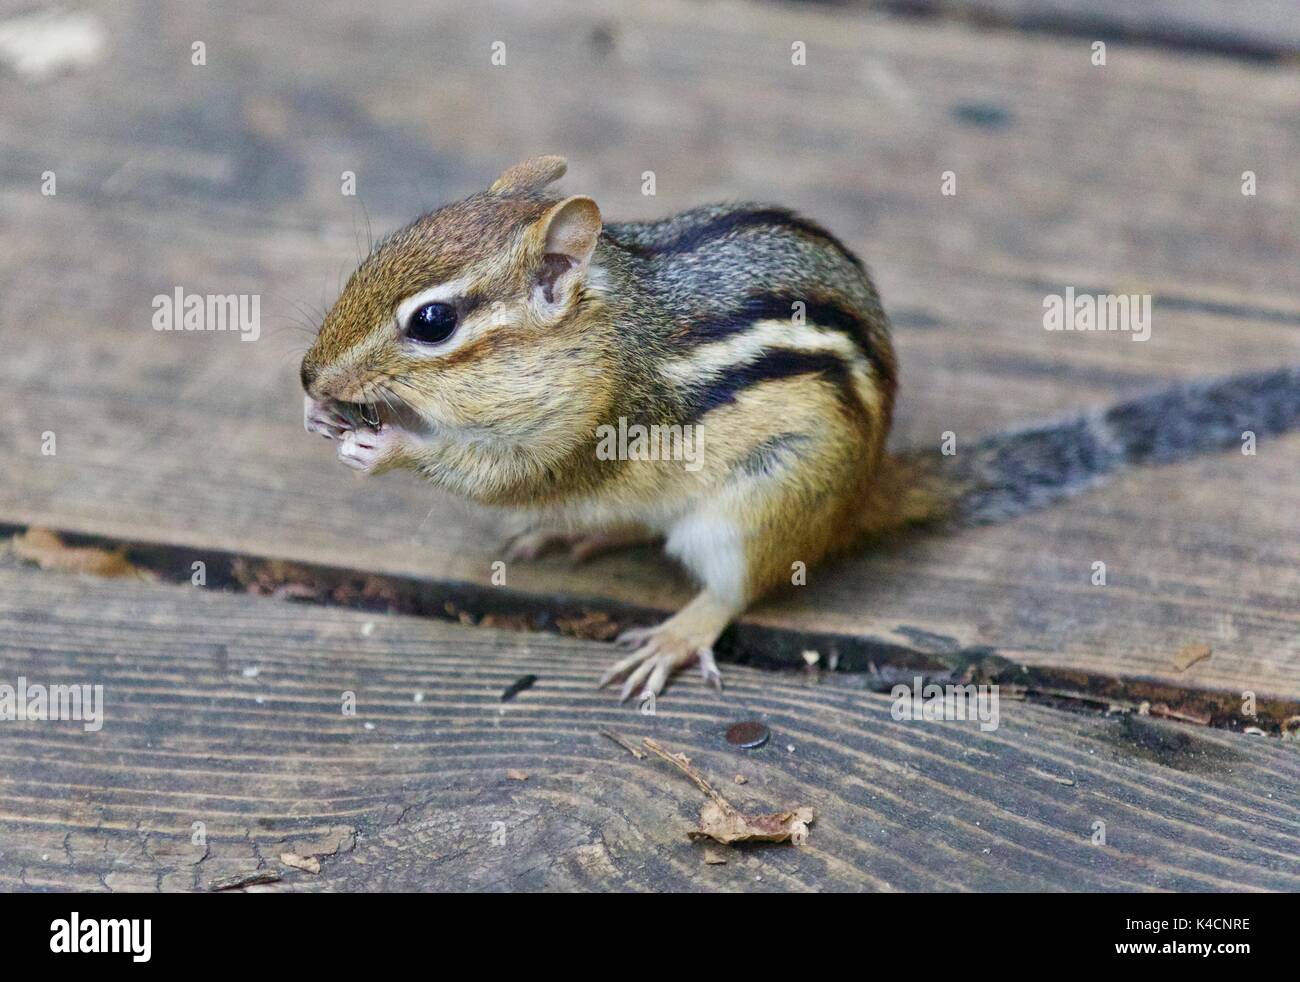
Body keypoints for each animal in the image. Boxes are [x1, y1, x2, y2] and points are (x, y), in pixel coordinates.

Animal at [300, 155, 1300, 705]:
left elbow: (511, 472)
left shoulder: (595, 424)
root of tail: (856, 499)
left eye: (432, 323)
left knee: (734, 589)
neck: (601, 329)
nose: (309, 375)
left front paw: (383, 443)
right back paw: (586, 536)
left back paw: (675, 633)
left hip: (760, 504)